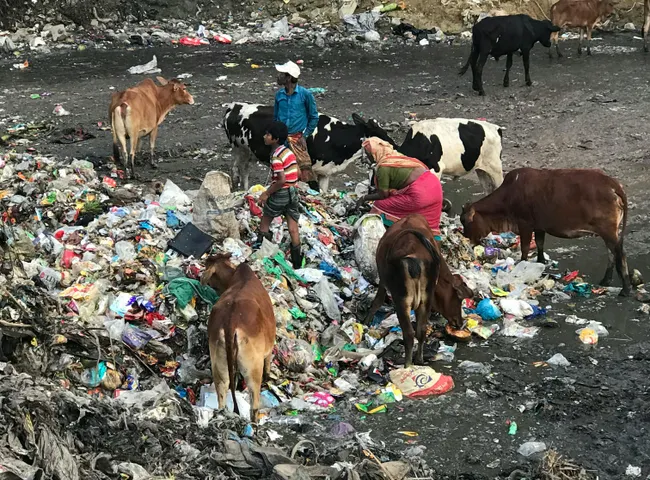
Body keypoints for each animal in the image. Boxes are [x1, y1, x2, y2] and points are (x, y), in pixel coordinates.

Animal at [200, 253, 276, 423]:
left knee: (222, 392)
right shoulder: (268, 347)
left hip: (218, 361)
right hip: (253, 367)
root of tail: (231, 321)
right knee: (254, 403)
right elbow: (268, 360)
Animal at [222, 102, 366, 192]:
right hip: (240, 149)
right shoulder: (308, 170)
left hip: (249, 153)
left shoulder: (324, 172)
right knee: (239, 169)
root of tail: (234, 105)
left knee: (241, 169)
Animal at [352, 115, 504, 194]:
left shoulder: (436, 168)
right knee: (488, 190)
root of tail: (496, 128)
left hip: (496, 168)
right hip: (482, 170)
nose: (370, 190)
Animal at [364, 214, 474, 365]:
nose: (460, 323)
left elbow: (378, 300)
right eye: (459, 298)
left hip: (402, 300)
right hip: (425, 299)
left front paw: (366, 321)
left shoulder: (383, 280)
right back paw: (419, 360)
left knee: (409, 334)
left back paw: (408, 365)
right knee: (420, 330)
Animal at [460, 168, 633, 296]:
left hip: (608, 230)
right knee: (612, 254)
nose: (466, 240)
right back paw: (606, 281)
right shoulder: (539, 227)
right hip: (608, 233)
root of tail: (612, 183)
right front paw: (541, 262)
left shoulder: (525, 224)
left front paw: (522, 265)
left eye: (465, 221)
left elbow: (524, 248)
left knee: (620, 254)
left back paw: (625, 289)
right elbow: (540, 244)